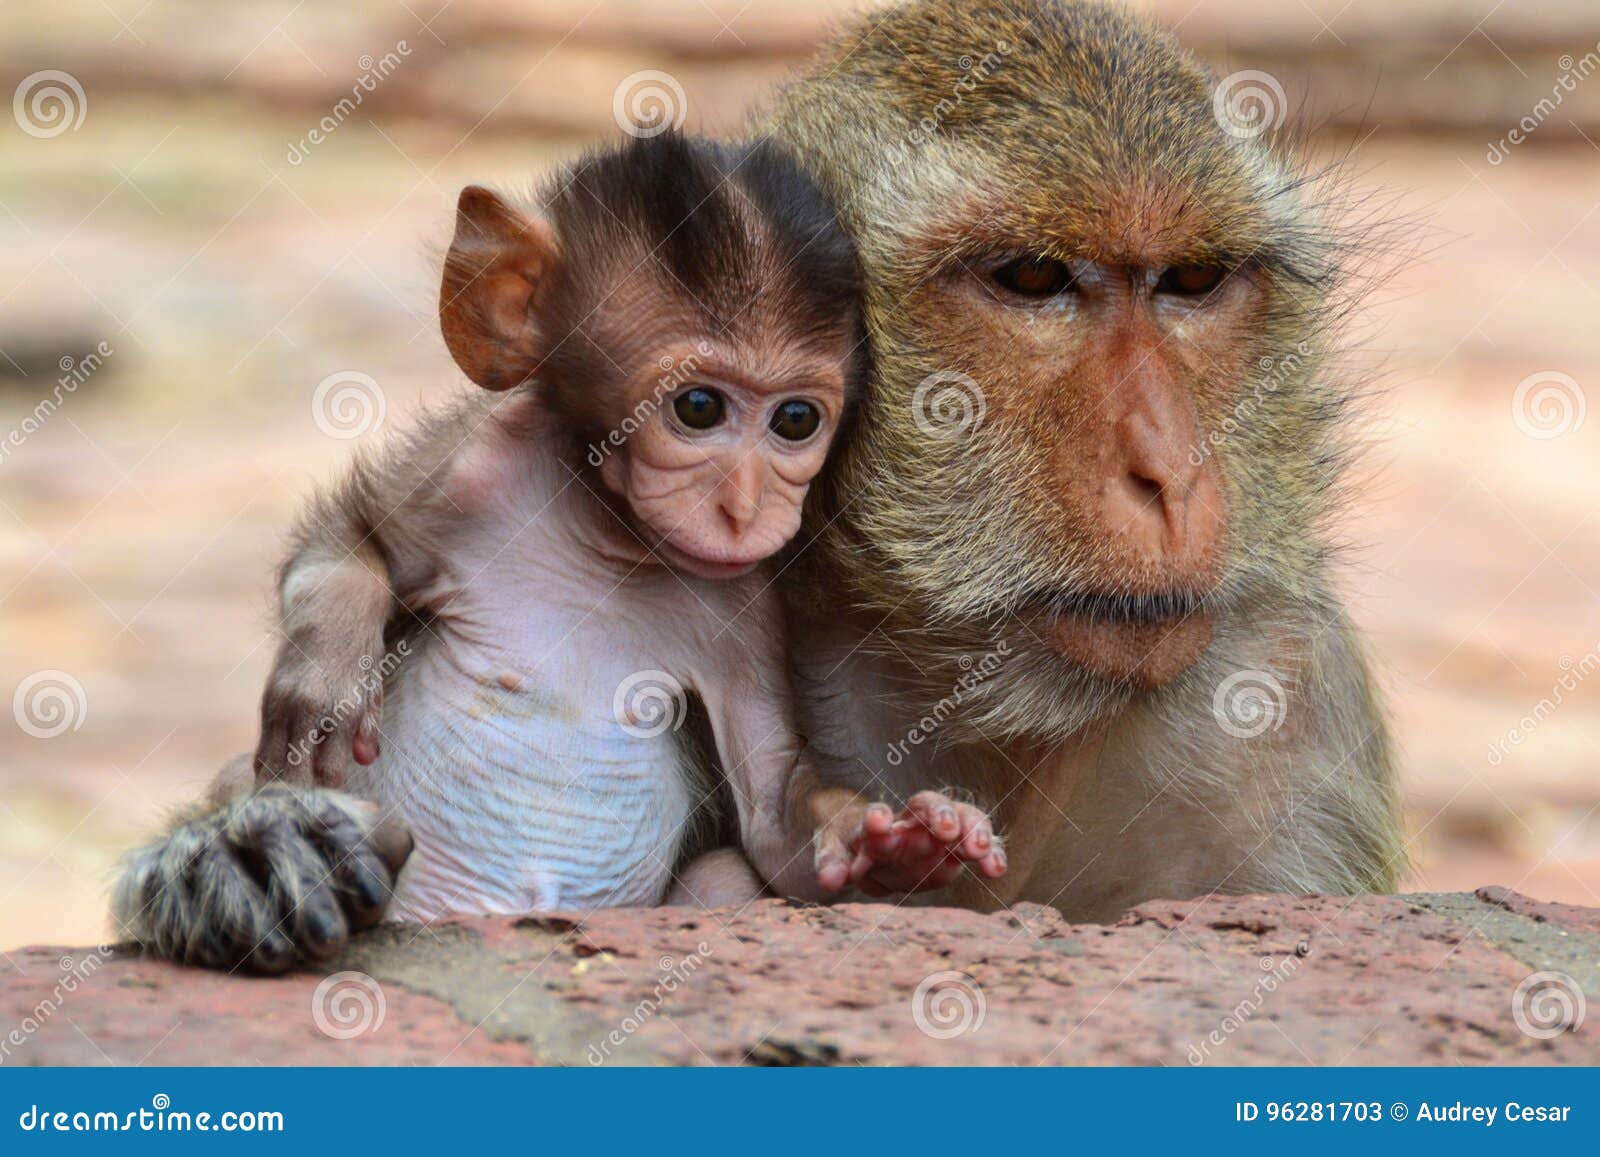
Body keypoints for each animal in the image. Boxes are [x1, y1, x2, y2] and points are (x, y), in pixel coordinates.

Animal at [112, 130, 1002, 972]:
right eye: (699, 407)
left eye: (795, 421)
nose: (746, 508)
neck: (605, 536)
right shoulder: (468, 469)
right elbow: (350, 542)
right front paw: (327, 672)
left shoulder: (746, 604)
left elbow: (773, 817)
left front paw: (900, 843)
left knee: (725, 874)